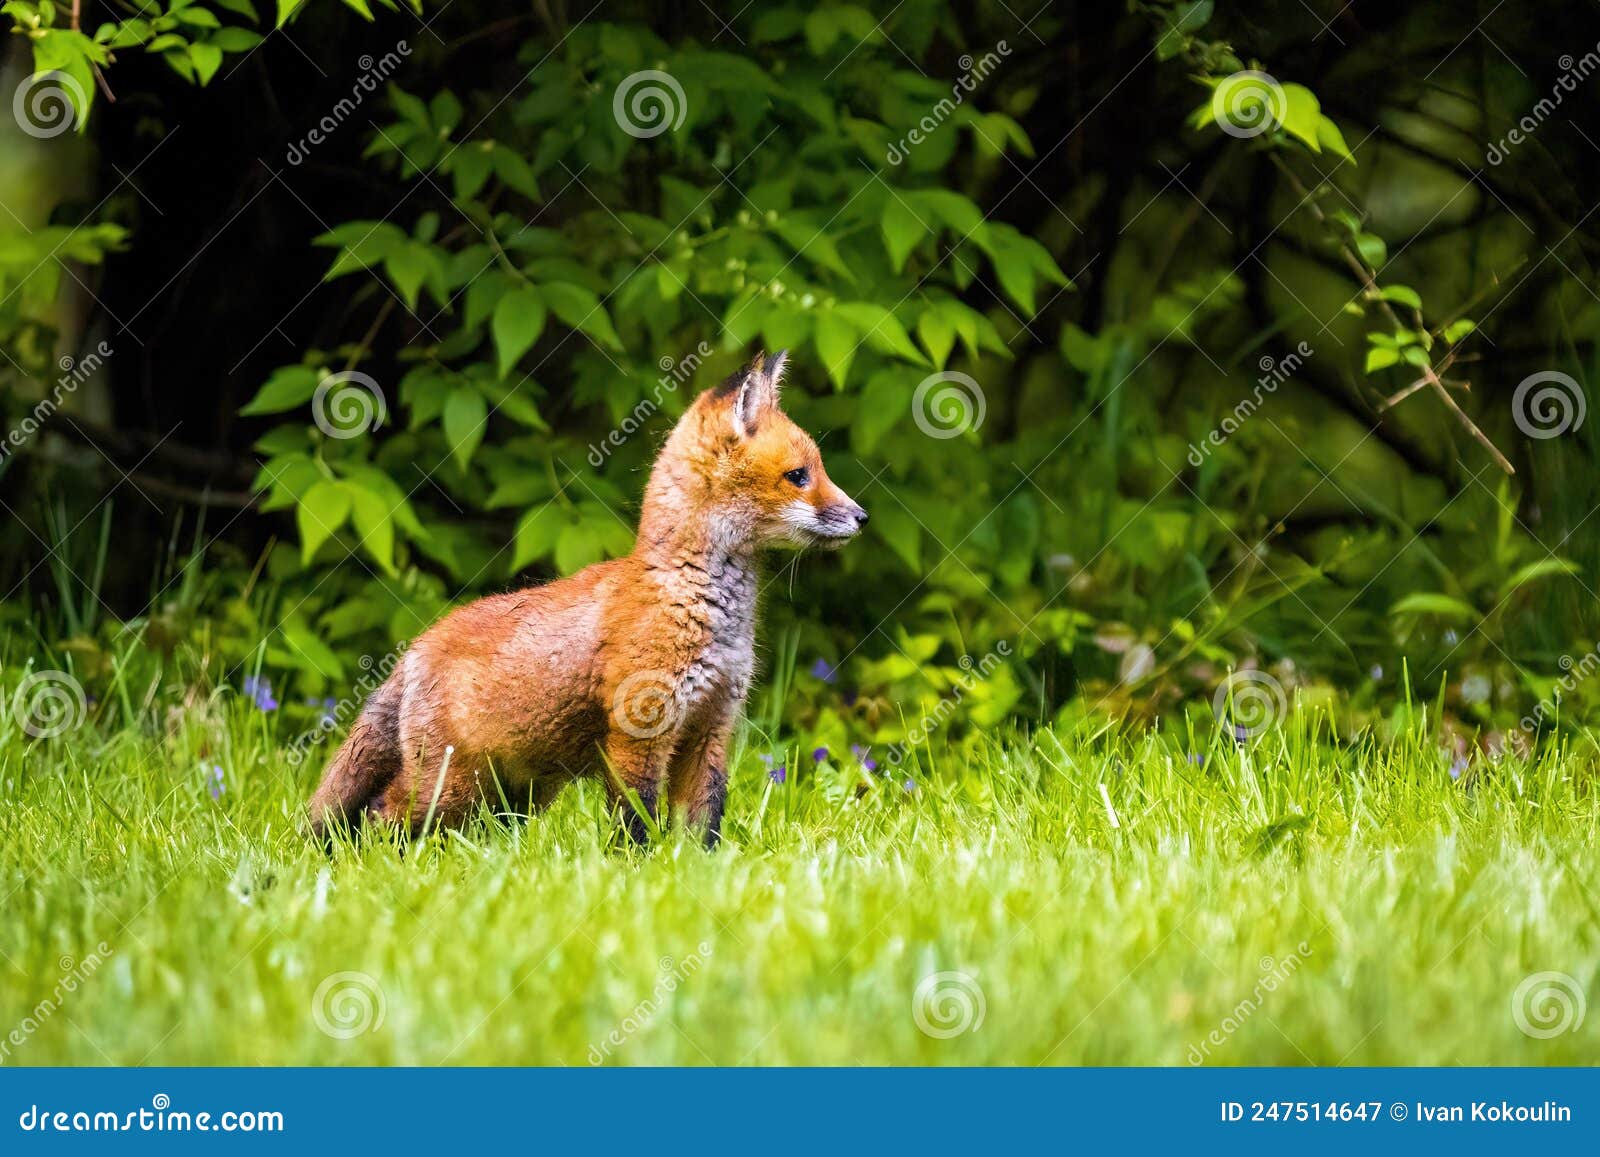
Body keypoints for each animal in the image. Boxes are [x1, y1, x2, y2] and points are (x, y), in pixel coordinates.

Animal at [306, 350, 867, 847]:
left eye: (818, 470)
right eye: (799, 476)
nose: (861, 517)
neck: (696, 600)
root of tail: (415, 648)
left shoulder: (711, 726)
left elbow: (703, 824)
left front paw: (702, 873)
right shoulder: (641, 730)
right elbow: (634, 820)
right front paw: (636, 873)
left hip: (513, 795)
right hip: (450, 788)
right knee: (380, 817)